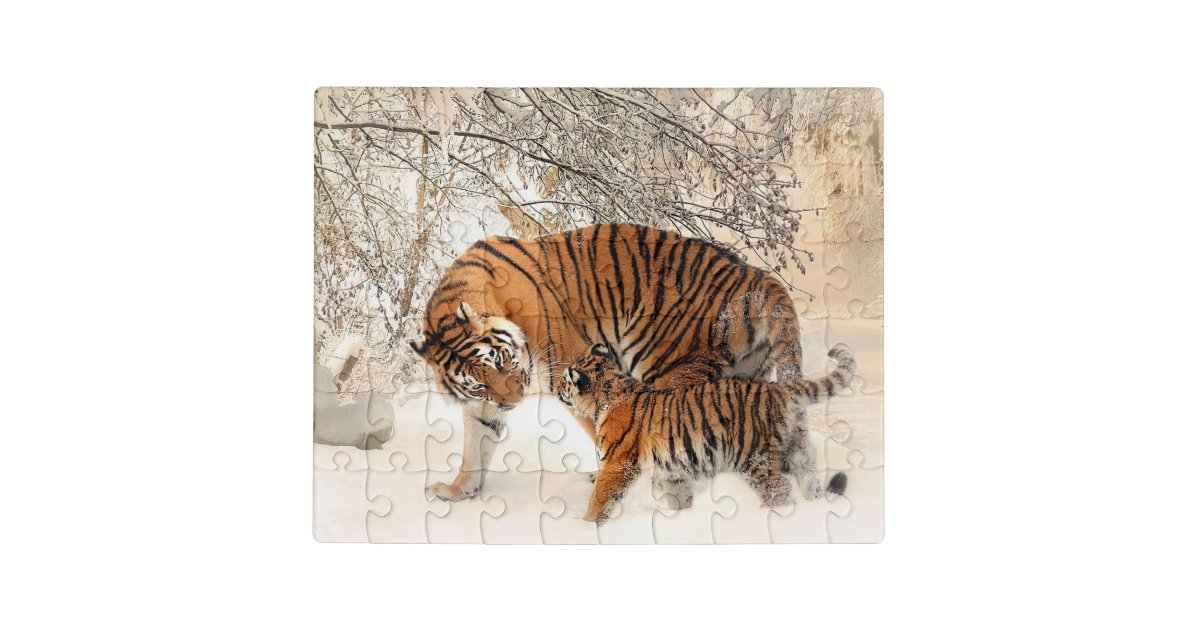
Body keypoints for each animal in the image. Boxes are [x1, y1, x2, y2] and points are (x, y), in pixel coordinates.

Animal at [408, 223, 806, 502]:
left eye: (503, 361)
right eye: (478, 383)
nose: (514, 401)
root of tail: (755, 275)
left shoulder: (572, 371)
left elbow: (603, 431)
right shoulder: (483, 405)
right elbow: (475, 445)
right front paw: (459, 491)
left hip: (671, 369)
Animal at [557, 343, 855, 524]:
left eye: (564, 380)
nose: (557, 389)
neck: (607, 395)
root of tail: (776, 388)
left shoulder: (618, 463)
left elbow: (600, 498)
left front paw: (587, 527)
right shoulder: (671, 470)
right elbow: (679, 496)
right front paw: (682, 517)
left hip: (753, 457)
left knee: (778, 489)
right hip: (796, 449)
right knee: (808, 477)